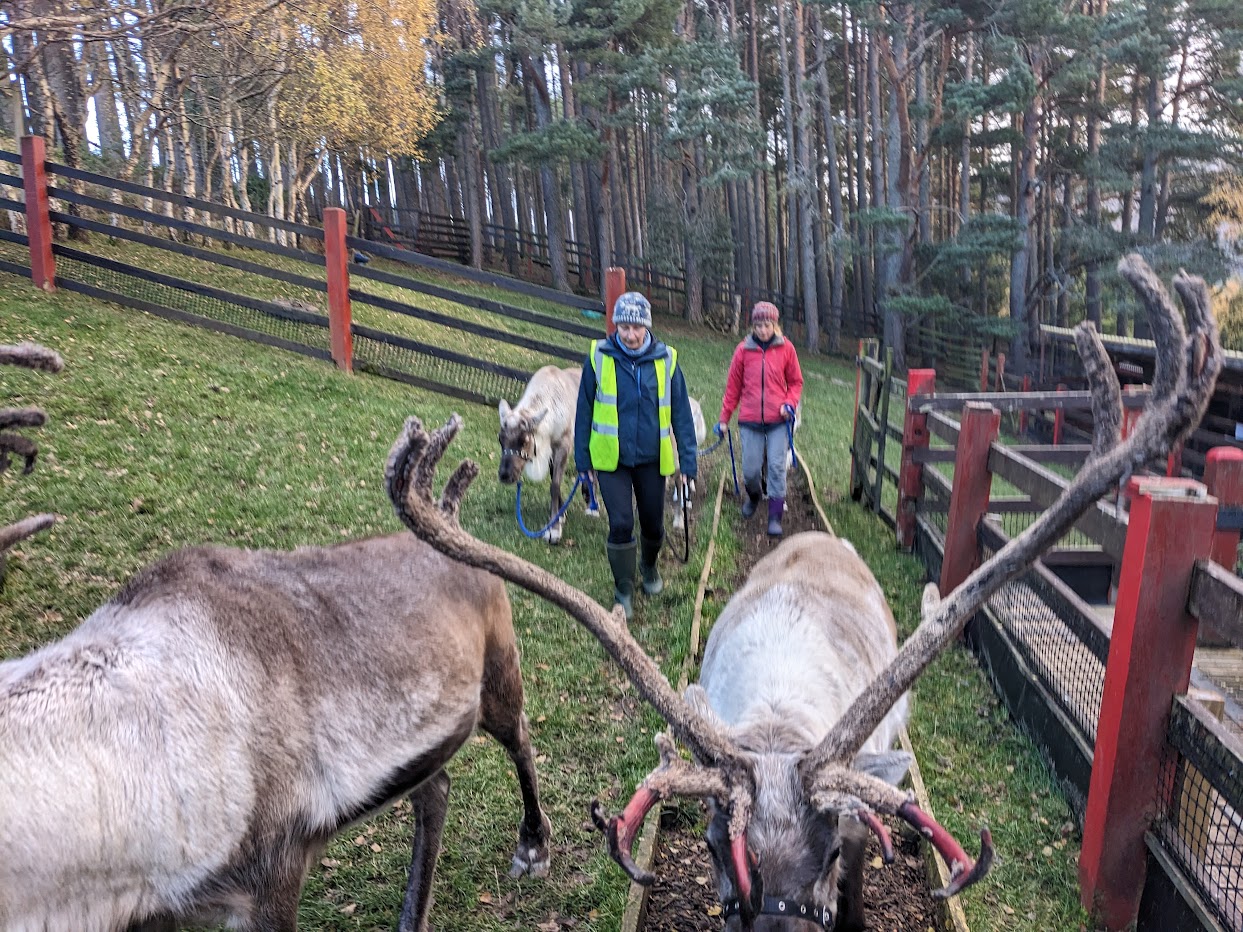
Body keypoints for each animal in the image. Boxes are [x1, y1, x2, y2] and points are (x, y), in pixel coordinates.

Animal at [0, 451, 552, 931]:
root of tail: (451, 522)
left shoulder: (274, 878)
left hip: (500, 673)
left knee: (520, 738)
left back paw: (533, 846)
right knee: (436, 788)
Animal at [498, 364, 599, 543]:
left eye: (524, 441)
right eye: (500, 439)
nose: (505, 475)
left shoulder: (563, 445)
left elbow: (555, 485)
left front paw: (554, 529)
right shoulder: (551, 450)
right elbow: (553, 478)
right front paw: (560, 514)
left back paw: (593, 506)